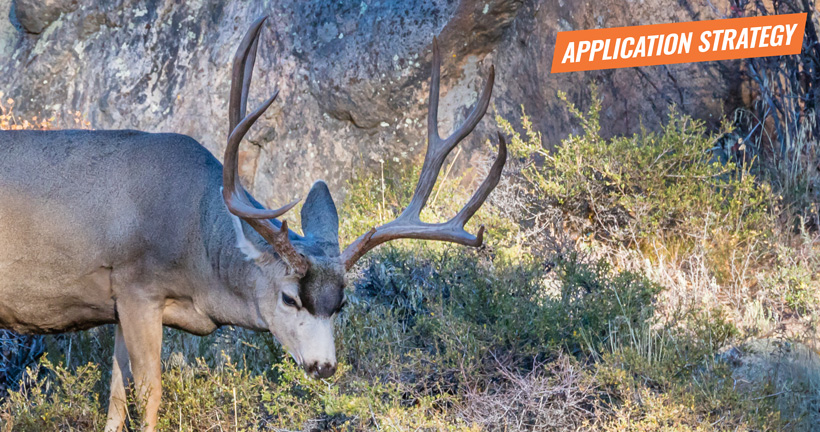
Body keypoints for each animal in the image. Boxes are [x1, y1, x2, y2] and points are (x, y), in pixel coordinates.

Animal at [0, 17, 505, 431]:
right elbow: (149, 395)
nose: (324, 367)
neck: (197, 243)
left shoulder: (120, 304)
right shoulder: (136, 285)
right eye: (289, 297)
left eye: (341, 303)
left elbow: (116, 398)